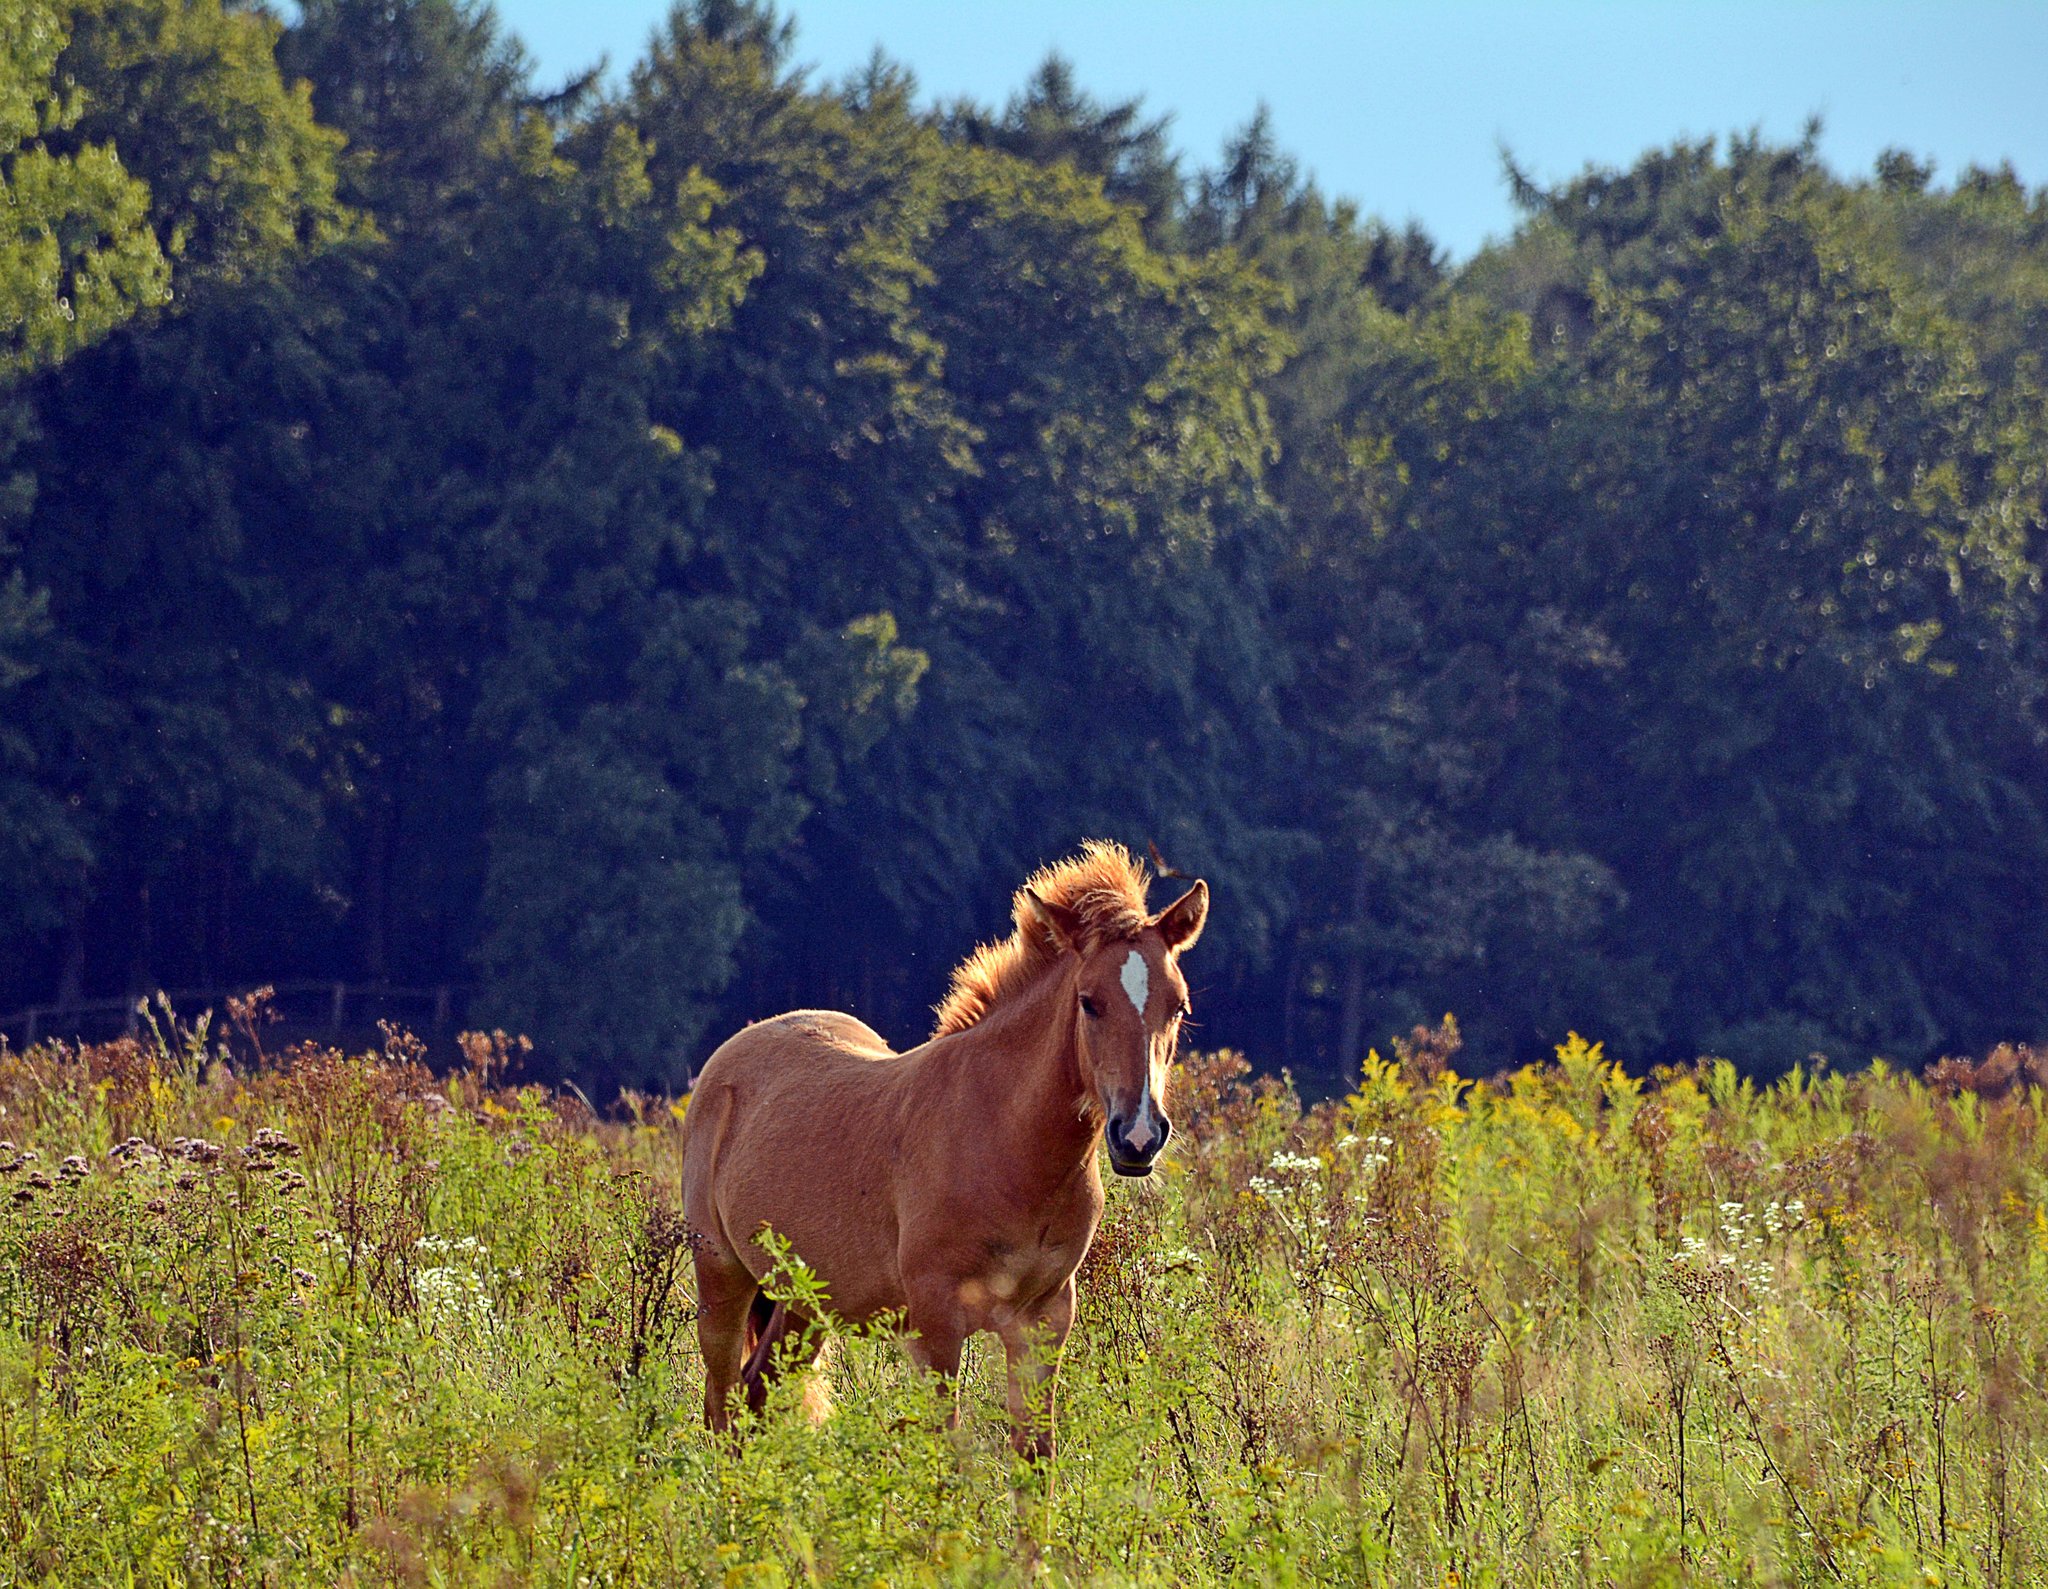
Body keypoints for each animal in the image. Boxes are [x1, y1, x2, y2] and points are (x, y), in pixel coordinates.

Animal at [680, 840, 1207, 1457]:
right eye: (1089, 1002)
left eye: (1178, 1005)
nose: (1138, 1135)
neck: (1005, 1148)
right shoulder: (935, 1323)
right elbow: (950, 1453)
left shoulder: (1044, 1320)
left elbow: (1036, 1456)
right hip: (721, 1277)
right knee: (722, 1403)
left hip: (803, 1303)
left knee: (756, 1394)